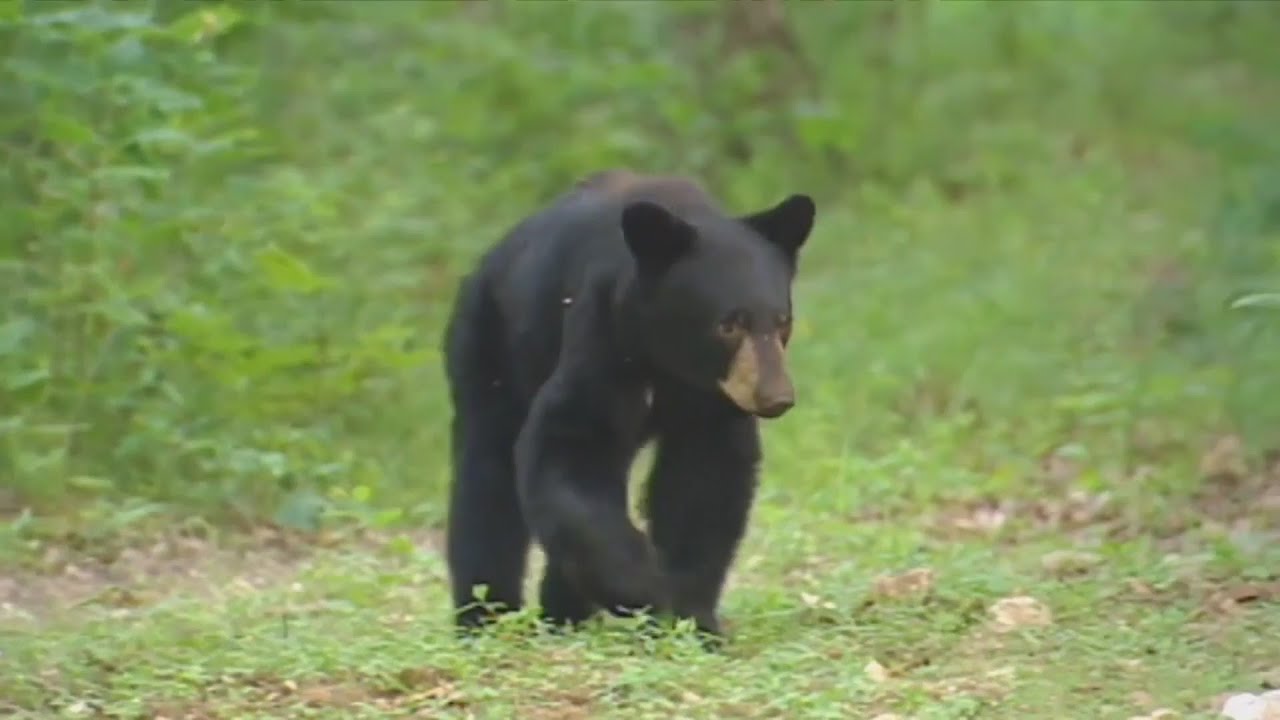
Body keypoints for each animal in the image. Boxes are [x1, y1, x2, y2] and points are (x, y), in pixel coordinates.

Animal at [441, 169, 817, 641]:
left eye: (783, 321)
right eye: (729, 324)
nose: (775, 396)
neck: (666, 357)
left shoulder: (709, 398)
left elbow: (704, 479)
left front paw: (692, 614)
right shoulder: (603, 338)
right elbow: (569, 447)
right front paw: (645, 587)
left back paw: (563, 610)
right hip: (492, 343)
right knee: (486, 475)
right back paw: (485, 614)